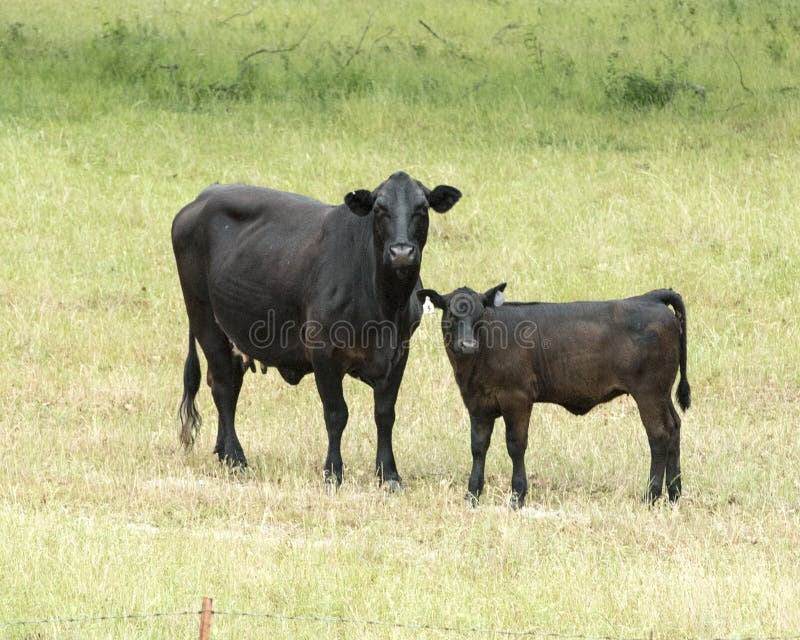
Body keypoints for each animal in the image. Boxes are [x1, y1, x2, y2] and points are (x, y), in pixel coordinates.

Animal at [171, 171, 462, 489]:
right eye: (379, 209)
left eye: (422, 208)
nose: (401, 252)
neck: (384, 304)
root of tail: (206, 194)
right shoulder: (324, 353)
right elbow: (336, 414)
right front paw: (333, 472)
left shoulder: (398, 352)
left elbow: (385, 414)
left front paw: (389, 475)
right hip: (204, 318)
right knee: (223, 387)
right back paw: (237, 460)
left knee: (229, 384)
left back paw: (224, 452)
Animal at [416, 283, 691, 507]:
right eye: (452, 314)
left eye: (480, 315)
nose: (467, 345)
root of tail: (649, 297)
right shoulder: (477, 403)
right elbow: (478, 446)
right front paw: (472, 495)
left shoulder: (517, 398)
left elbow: (516, 445)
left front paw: (517, 497)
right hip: (662, 393)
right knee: (674, 427)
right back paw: (673, 494)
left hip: (649, 392)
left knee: (659, 435)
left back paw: (651, 496)